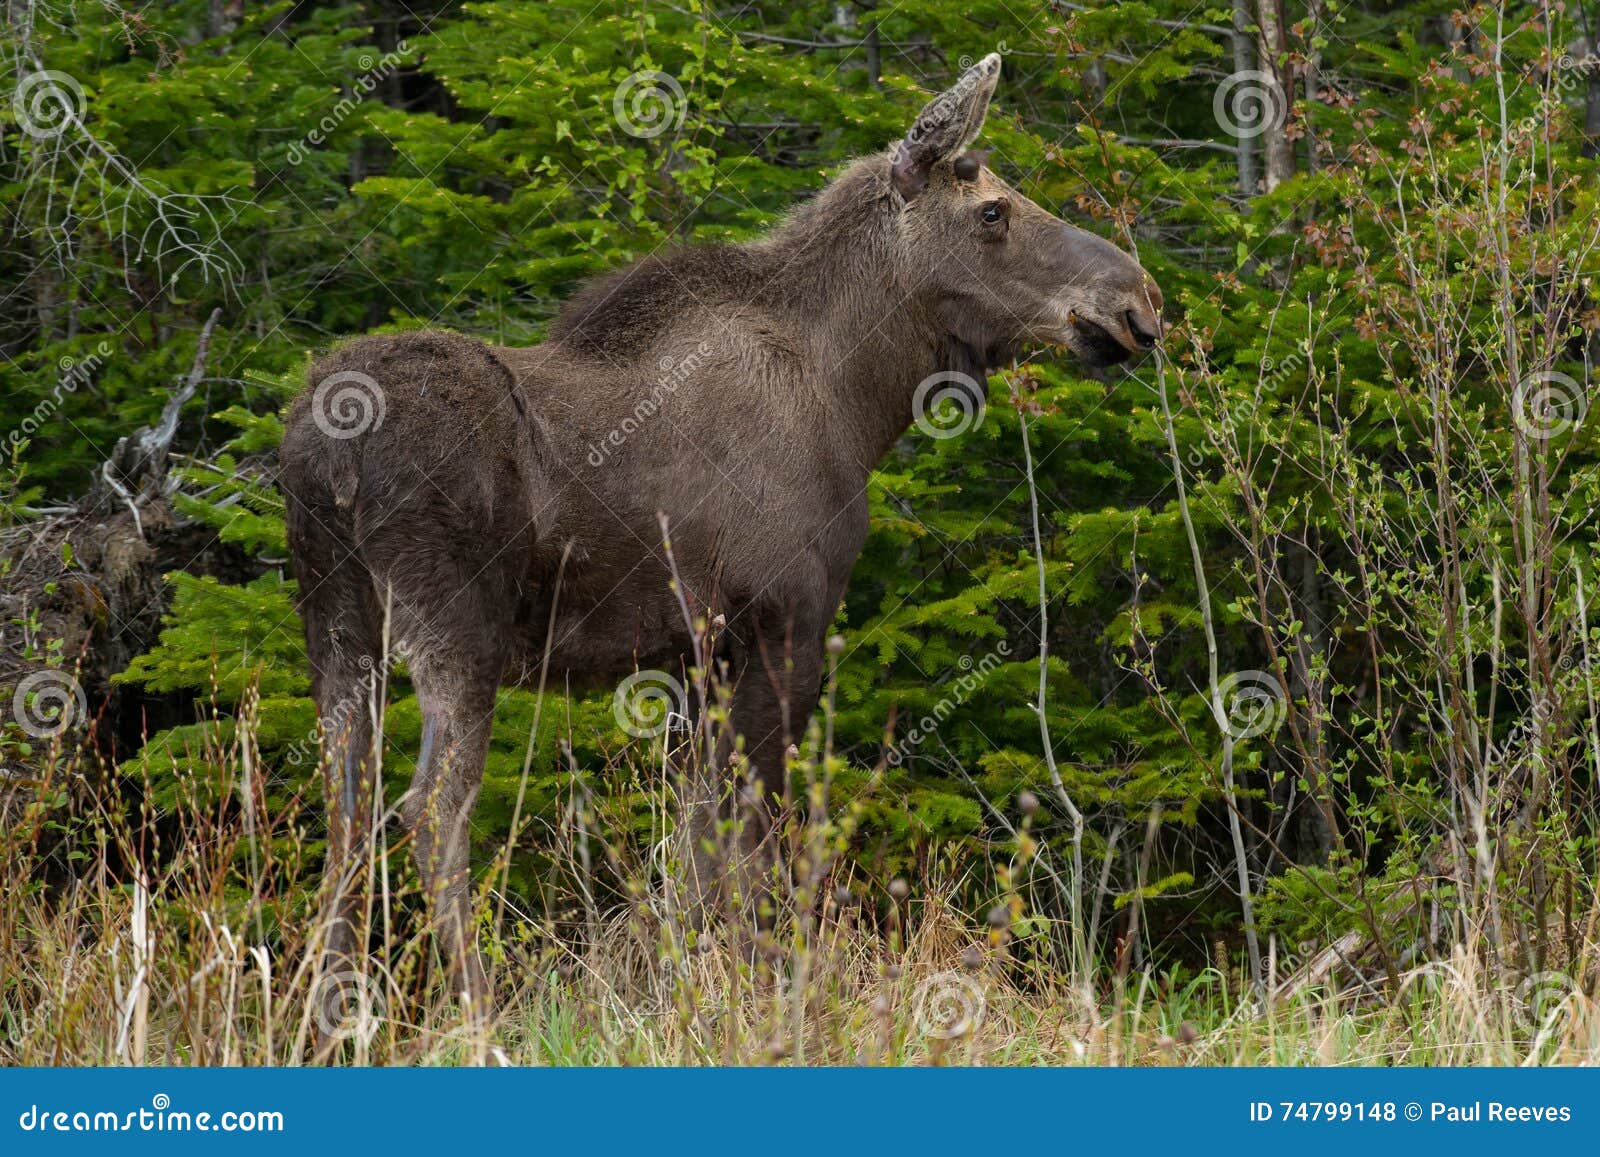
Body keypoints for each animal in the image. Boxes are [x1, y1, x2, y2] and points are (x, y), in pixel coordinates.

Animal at [278, 53, 1164, 1024]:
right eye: (993, 212)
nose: (1140, 299)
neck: (855, 400)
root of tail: (324, 444)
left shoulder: (691, 656)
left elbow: (692, 850)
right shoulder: (784, 623)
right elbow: (752, 844)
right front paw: (765, 993)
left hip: (335, 620)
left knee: (346, 802)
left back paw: (325, 1014)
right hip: (457, 625)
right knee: (430, 807)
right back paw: (478, 1010)